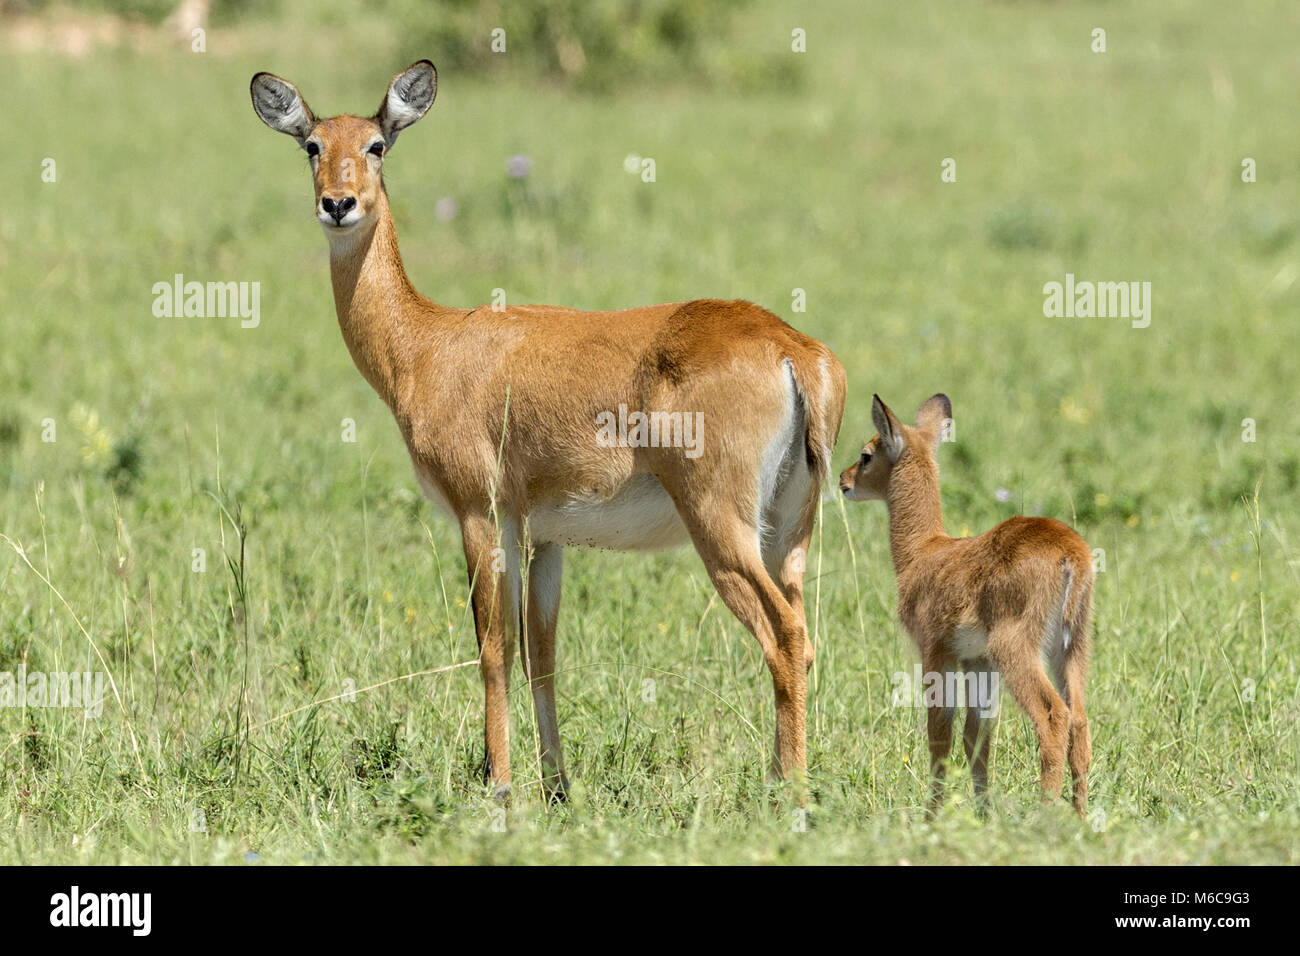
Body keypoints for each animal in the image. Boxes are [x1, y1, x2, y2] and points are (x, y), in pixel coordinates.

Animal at [250, 61, 847, 800]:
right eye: (312, 145)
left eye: (376, 144)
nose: (339, 204)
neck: (426, 345)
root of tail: (793, 350)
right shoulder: (547, 537)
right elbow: (543, 656)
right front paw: (556, 786)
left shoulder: (482, 516)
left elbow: (493, 650)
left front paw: (502, 787)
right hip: (788, 531)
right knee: (804, 635)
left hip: (720, 524)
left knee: (784, 635)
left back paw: (786, 792)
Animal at [839, 394, 1093, 817]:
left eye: (866, 454)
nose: (843, 481)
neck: (922, 553)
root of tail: (1072, 554)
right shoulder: (978, 661)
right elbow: (977, 739)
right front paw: (983, 814)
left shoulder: (936, 652)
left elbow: (939, 735)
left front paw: (932, 816)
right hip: (1071, 648)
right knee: (1081, 720)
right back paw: (1081, 817)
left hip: (1017, 649)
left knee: (1054, 716)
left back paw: (1045, 815)